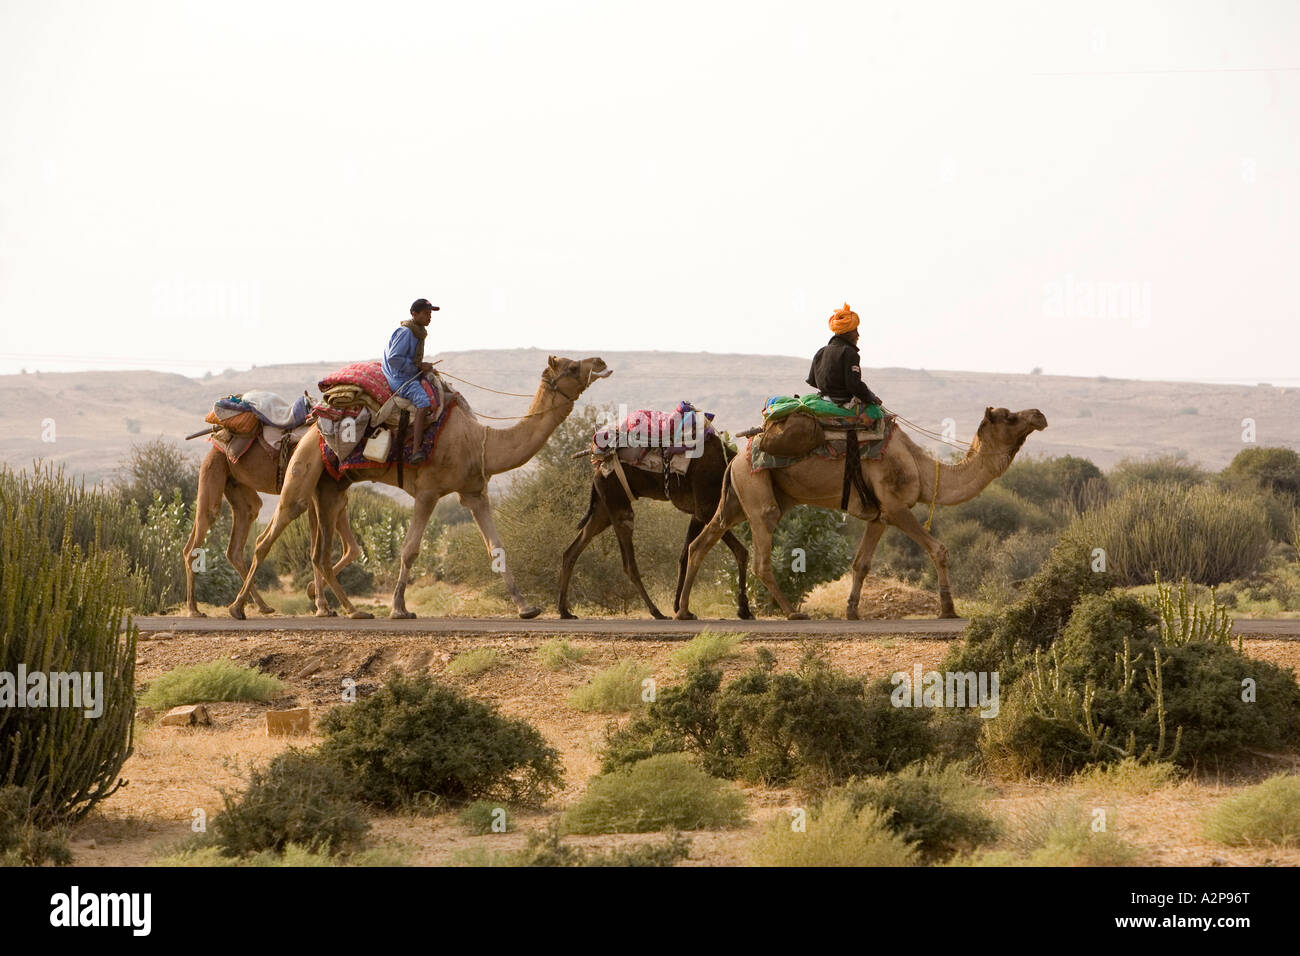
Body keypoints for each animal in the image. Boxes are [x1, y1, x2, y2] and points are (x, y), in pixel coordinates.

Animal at [182, 440, 360, 616]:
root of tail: (214, 445)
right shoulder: (315, 494)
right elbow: (316, 548)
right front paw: (321, 605)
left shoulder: (332, 496)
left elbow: (352, 549)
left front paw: (316, 596)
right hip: (213, 472)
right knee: (196, 540)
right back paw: (193, 609)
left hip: (238, 490)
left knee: (235, 544)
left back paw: (261, 606)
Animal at [229, 355, 611, 620]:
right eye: (572, 365)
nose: (601, 362)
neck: (481, 440)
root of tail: (311, 423)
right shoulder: (428, 492)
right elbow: (410, 549)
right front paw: (399, 608)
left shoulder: (475, 493)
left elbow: (497, 549)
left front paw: (526, 607)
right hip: (302, 472)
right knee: (268, 538)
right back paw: (240, 608)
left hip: (332, 488)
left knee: (319, 552)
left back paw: (352, 610)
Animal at [557, 432, 752, 620]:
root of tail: (598, 469)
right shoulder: (708, 509)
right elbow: (741, 552)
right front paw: (744, 610)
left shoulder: (698, 514)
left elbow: (684, 555)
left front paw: (679, 608)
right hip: (618, 505)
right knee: (629, 564)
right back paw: (656, 611)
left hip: (603, 510)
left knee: (572, 551)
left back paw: (564, 611)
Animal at [674, 406, 1048, 621]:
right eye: (1010, 416)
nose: (1039, 414)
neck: (924, 470)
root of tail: (736, 455)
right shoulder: (896, 506)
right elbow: (939, 549)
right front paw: (948, 609)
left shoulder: (879, 516)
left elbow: (862, 564)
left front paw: (852, 611)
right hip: (756, 490)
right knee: (761, 554)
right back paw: (793, 614)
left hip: (737, 500)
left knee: (703, 541)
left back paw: (684, 611)